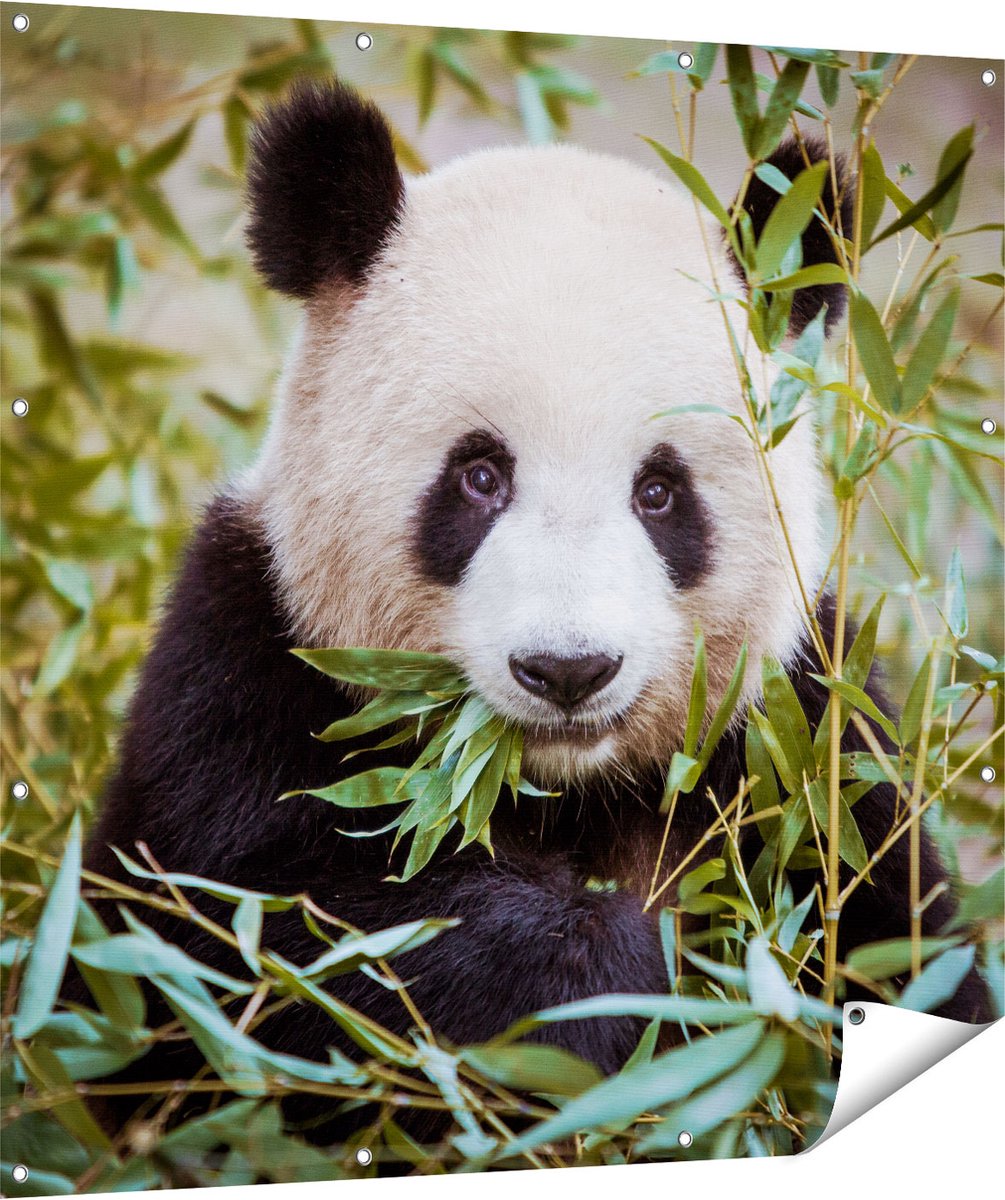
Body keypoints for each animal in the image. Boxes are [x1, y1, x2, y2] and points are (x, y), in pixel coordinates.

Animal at [82, 80, 989, 1132]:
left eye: (659, 492)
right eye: (479, 476)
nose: (567, 670)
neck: (559, 789)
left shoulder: (810, 744)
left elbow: (904, 948)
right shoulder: (243, 668)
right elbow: (265, 941)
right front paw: (609, 980)